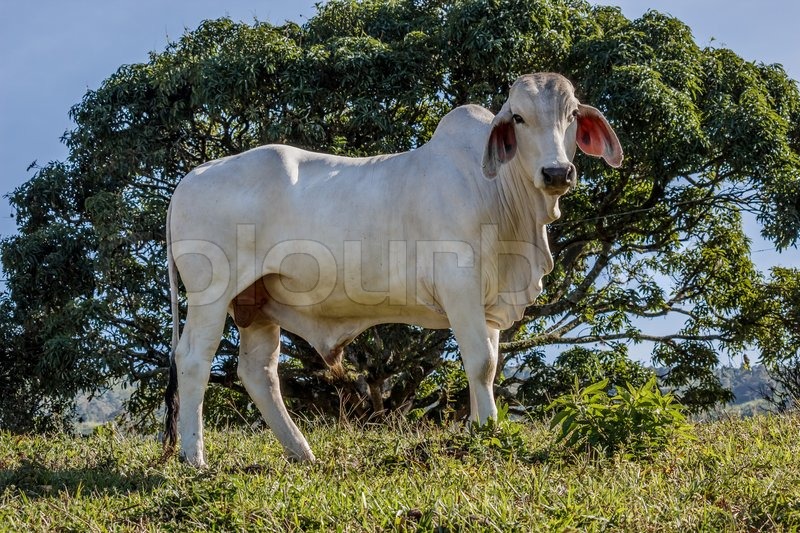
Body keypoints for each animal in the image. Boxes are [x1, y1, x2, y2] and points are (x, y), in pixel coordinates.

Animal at [163, 72, 623, 467]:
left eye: (571, 116)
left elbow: (487, 365)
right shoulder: (459, 285)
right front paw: (489, 434)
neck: (500, 196)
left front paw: (478, 431)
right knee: (194, 359)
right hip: (212, 292)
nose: (557, 171)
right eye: (520, 118)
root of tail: (193, 176)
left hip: (256, 301)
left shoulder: (489, 303)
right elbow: (481, 362)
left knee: (258, 371)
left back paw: (302, 453)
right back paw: (195, 457)